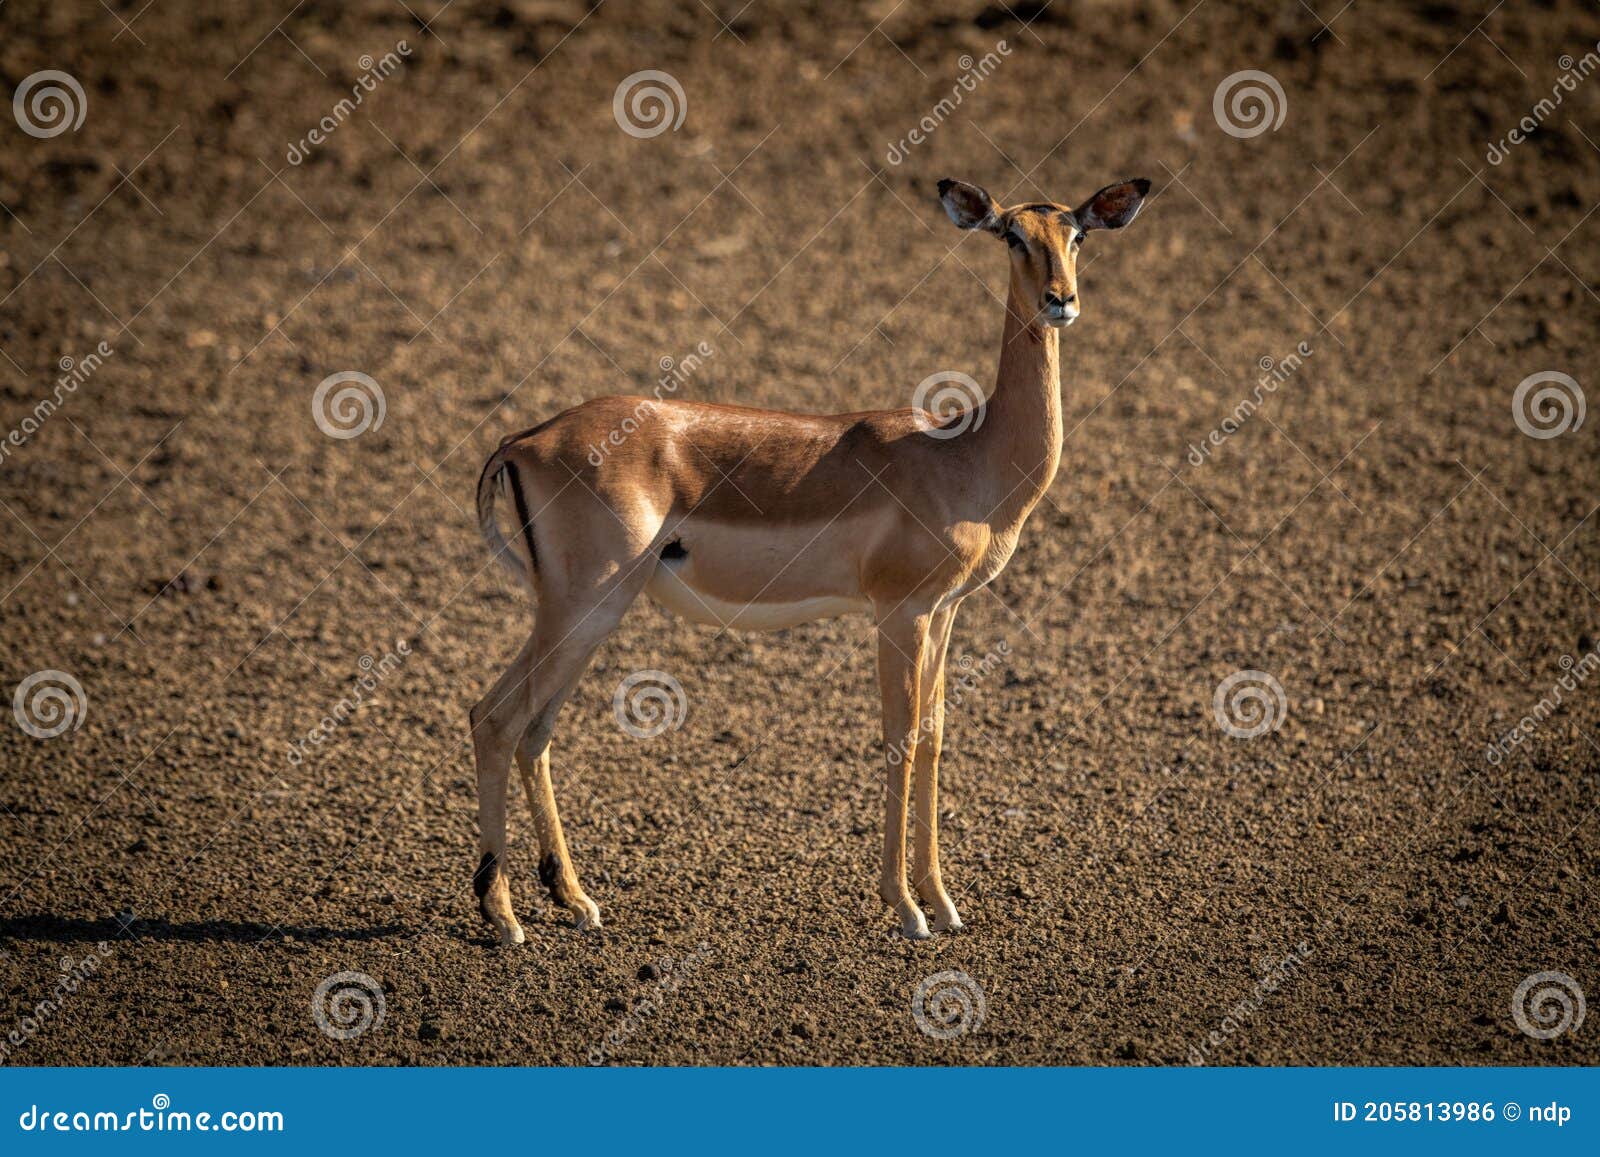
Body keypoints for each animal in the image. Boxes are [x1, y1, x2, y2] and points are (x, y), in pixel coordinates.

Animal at [470, 175, 1150, 943]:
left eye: (1077, 234)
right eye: (1011, 235)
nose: (1060, 299)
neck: (967, 456)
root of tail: (524, 440)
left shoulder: (943, 613)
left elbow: (935, 737)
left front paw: (944, 903)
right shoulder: (898, 612)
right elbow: (899, 738)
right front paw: (907, 908)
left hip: (591, 614)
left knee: (535, 730)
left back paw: (574, 899)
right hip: (582, 605)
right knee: (495, 718)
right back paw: (503, 916)